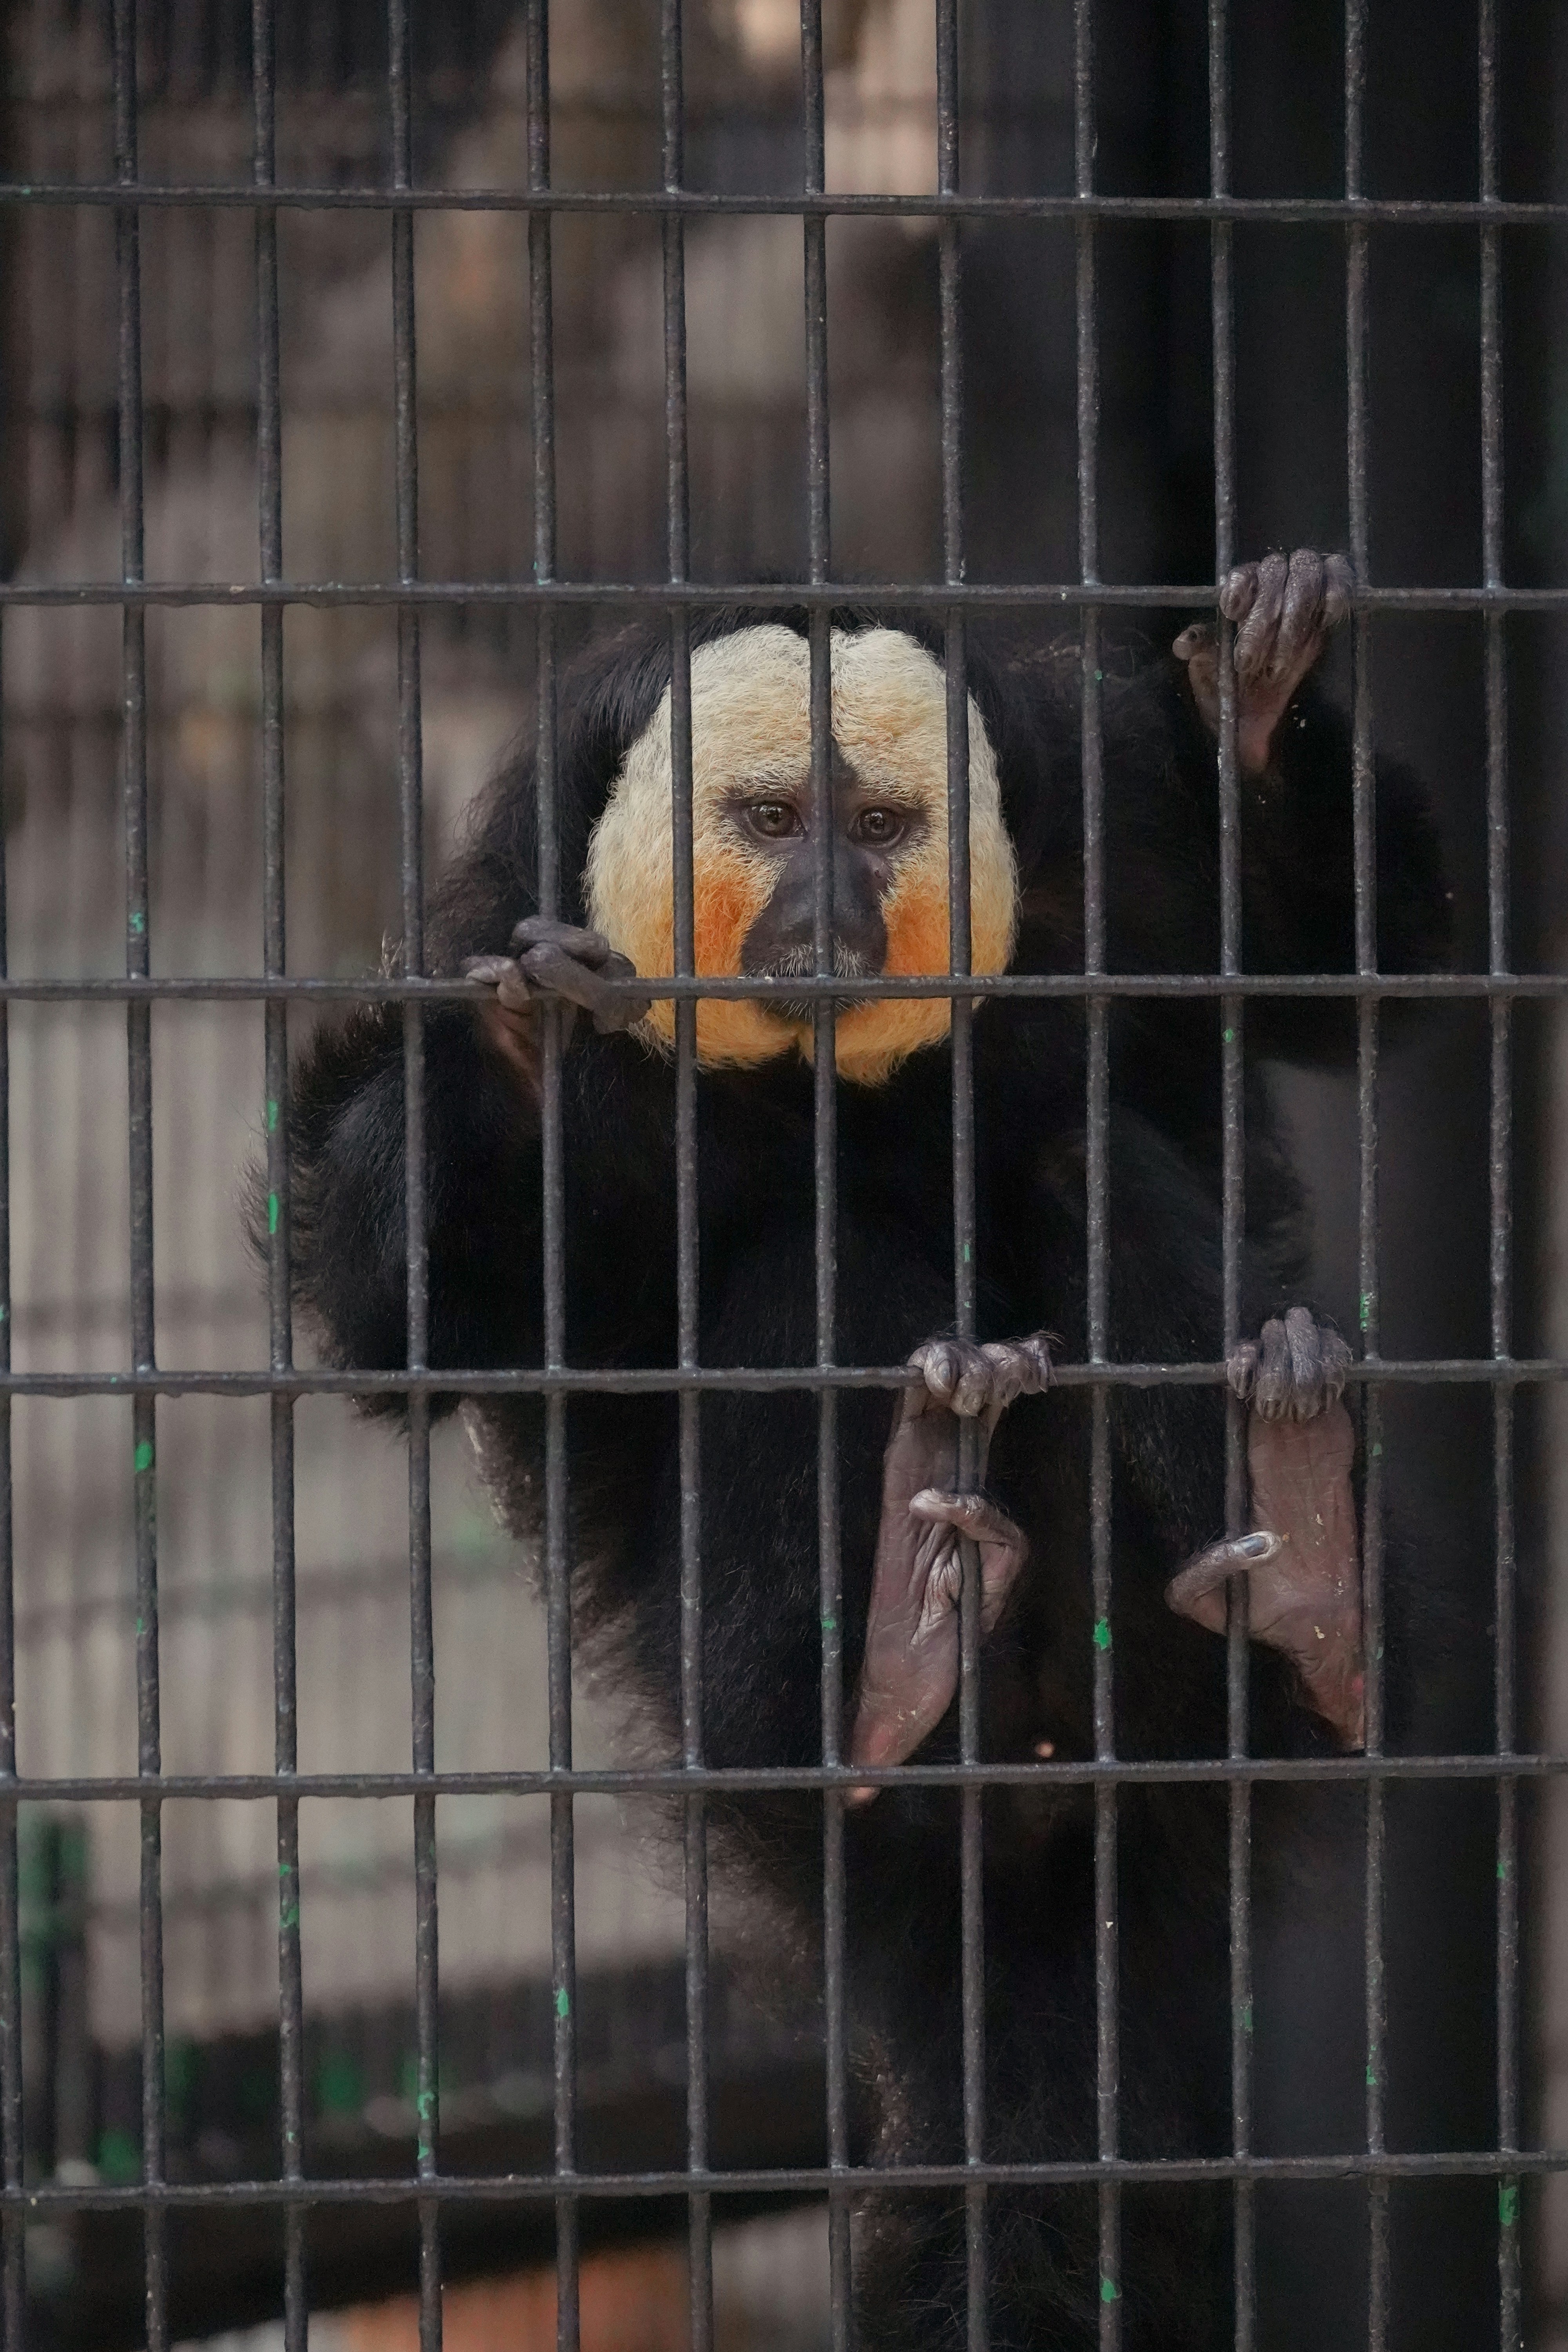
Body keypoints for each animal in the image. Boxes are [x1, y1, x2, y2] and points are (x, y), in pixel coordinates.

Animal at [277, 548, 1452, 2349]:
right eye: (769, 819)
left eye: (883, 826)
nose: (828, 913)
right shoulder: (486, 907)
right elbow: (400, 1305)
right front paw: (533, 1054)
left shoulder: (1106, 839)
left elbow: (1345, 963)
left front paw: (1255, 721)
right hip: (756, 1748)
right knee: (793, 1281)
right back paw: (887, 1678)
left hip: (1170, 1697)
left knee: (1084, 1157)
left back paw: (1307, 1572)